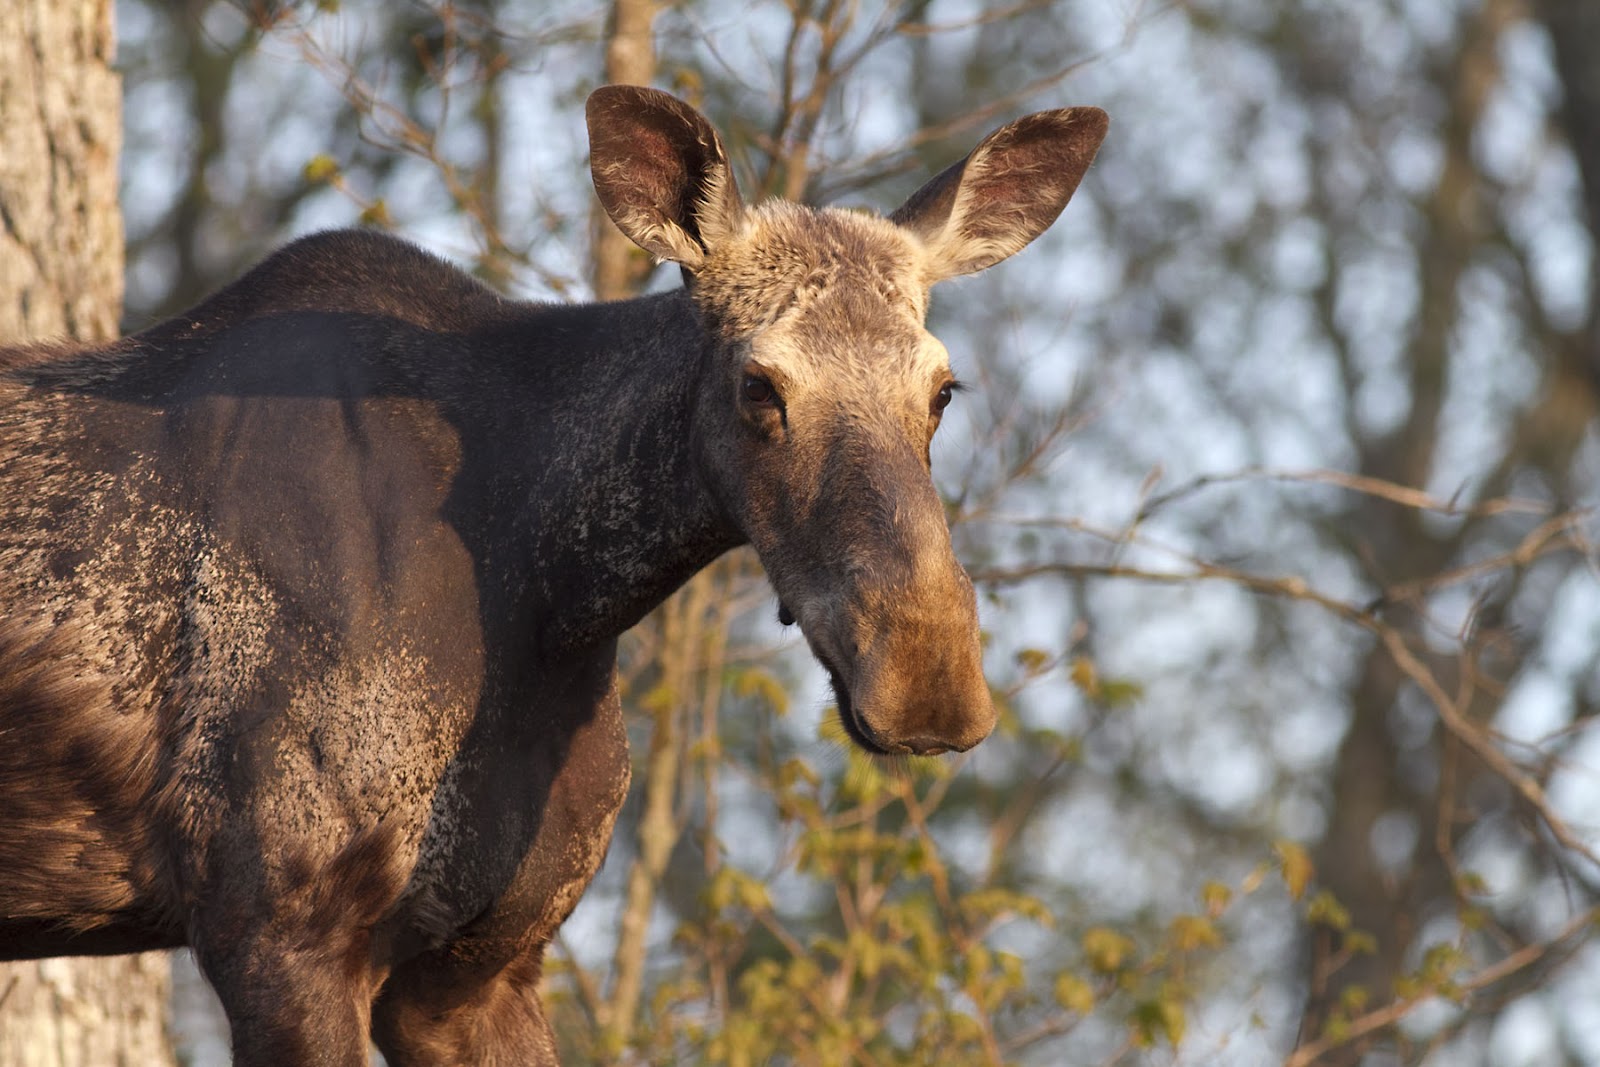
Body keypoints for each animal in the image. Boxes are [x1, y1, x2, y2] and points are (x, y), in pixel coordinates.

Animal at [0, 86, 1107, 1064]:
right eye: (760, 386)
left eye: (943, 390)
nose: (927, 675)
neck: (552, 602)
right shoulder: (276, 924)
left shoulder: (474, 967)